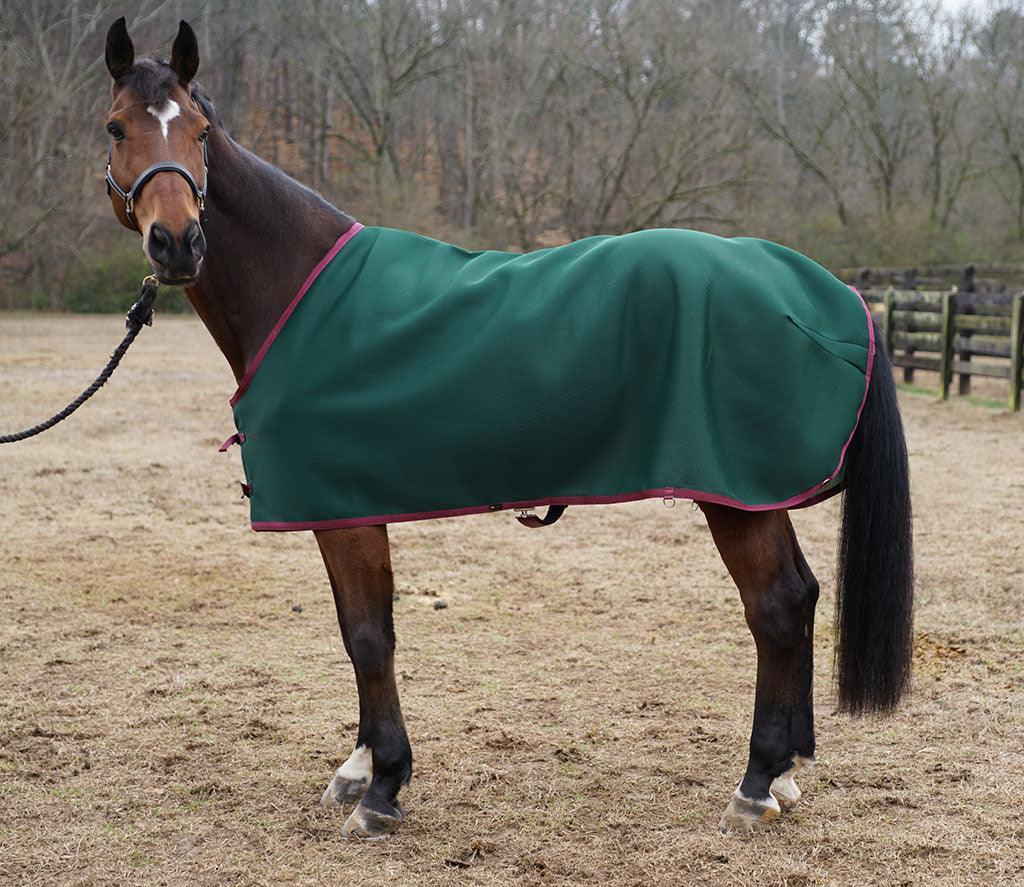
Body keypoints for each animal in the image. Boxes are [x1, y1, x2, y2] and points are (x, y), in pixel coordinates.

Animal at [99, 18, 913, 840]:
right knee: (803, 597)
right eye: (116, 128)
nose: (178, 242)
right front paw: (359, 766)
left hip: (735, 497)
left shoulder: (349, 513)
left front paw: (383, 787)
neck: (300, 291)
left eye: (201, 133)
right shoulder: (335, 508)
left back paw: (754, 782)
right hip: (757, 496)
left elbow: (369, 635)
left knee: (775, 607)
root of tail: (826, 293)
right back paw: (788, 770)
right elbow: (353, 630)